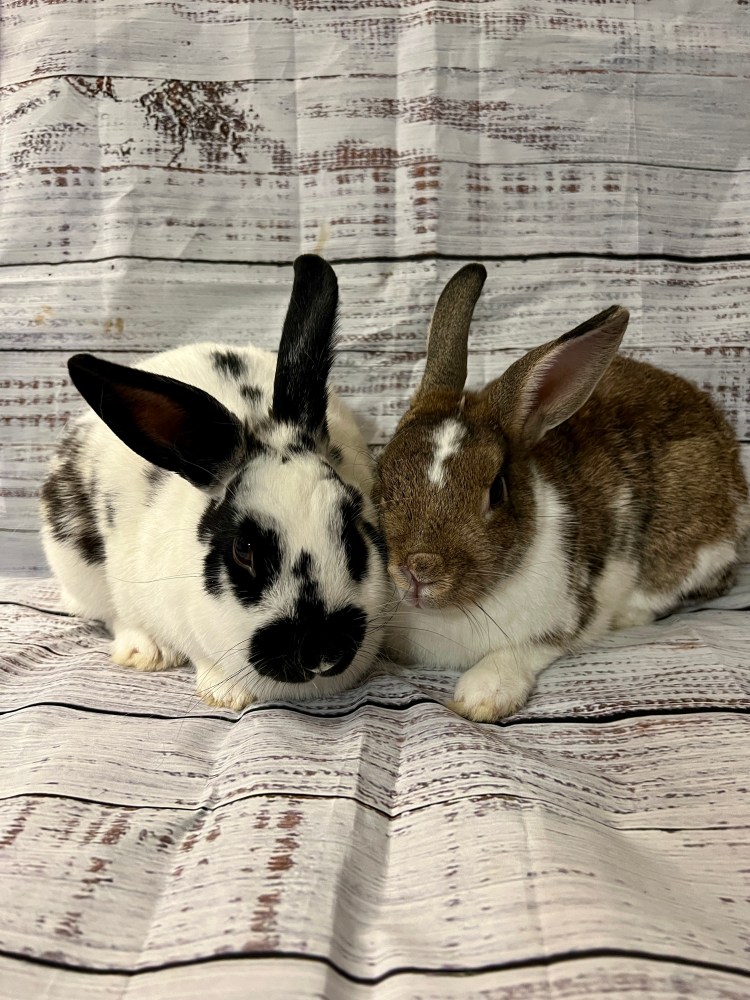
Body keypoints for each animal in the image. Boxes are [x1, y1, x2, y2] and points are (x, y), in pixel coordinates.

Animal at [375, 263, 750, 722]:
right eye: (383, 472)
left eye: (496, 491)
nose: (418, 569)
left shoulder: (567, 618)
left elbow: (528, 649)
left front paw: (481, 698)